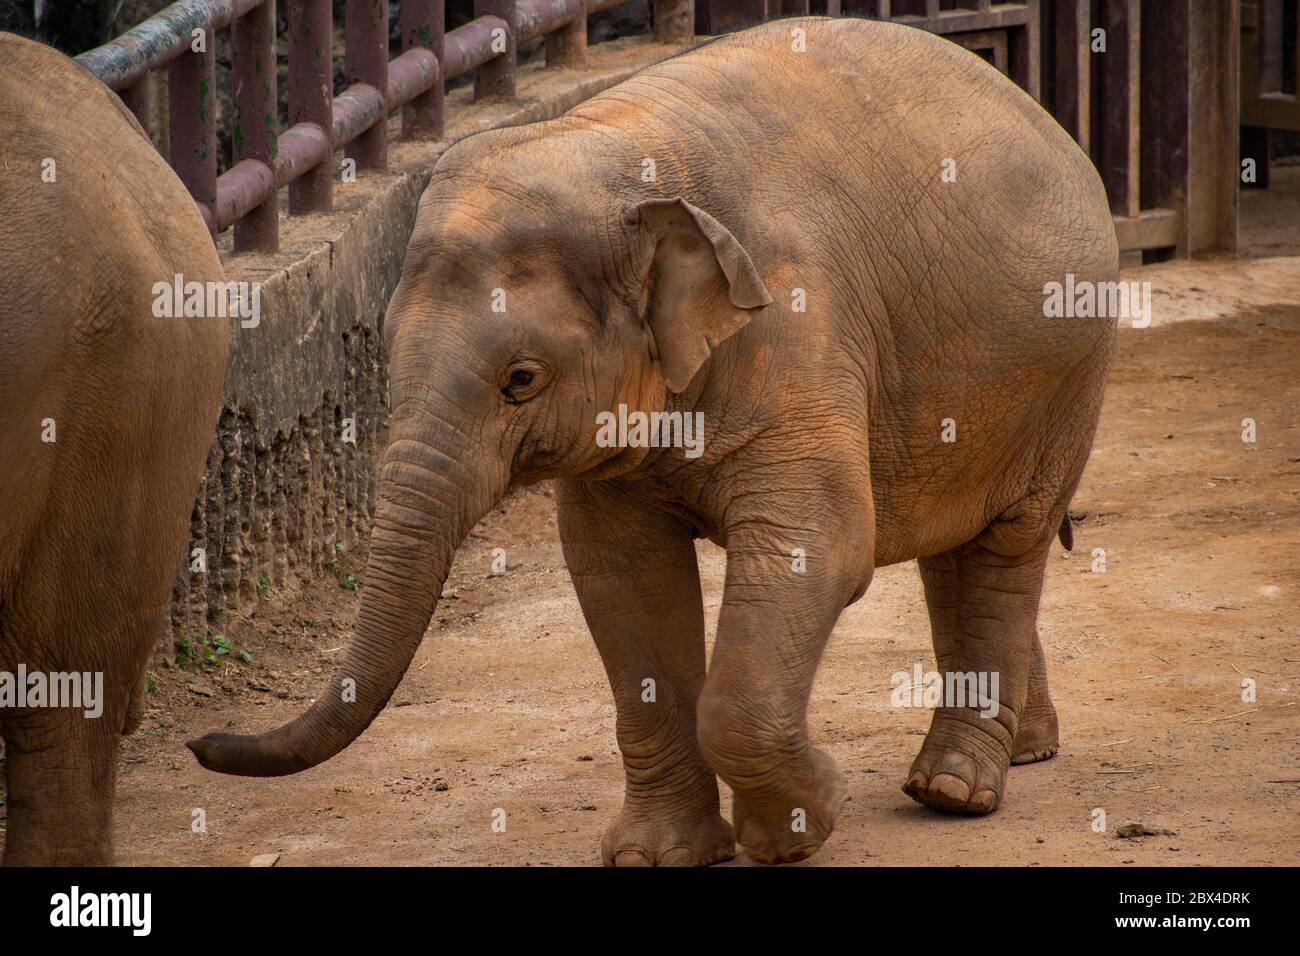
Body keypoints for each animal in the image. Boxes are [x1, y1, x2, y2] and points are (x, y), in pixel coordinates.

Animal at [190, 16, 1117, 866]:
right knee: (955, 547)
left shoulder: (800, 328)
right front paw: (658, 856)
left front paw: (804, 822)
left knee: (1007, 545)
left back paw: (954, 791)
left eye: (520, 379)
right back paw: (1021, 751)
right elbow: (622, 575)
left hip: (1070, 364)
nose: (202, 745)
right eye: (379, 350)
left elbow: (819, 545)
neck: (621, 154)